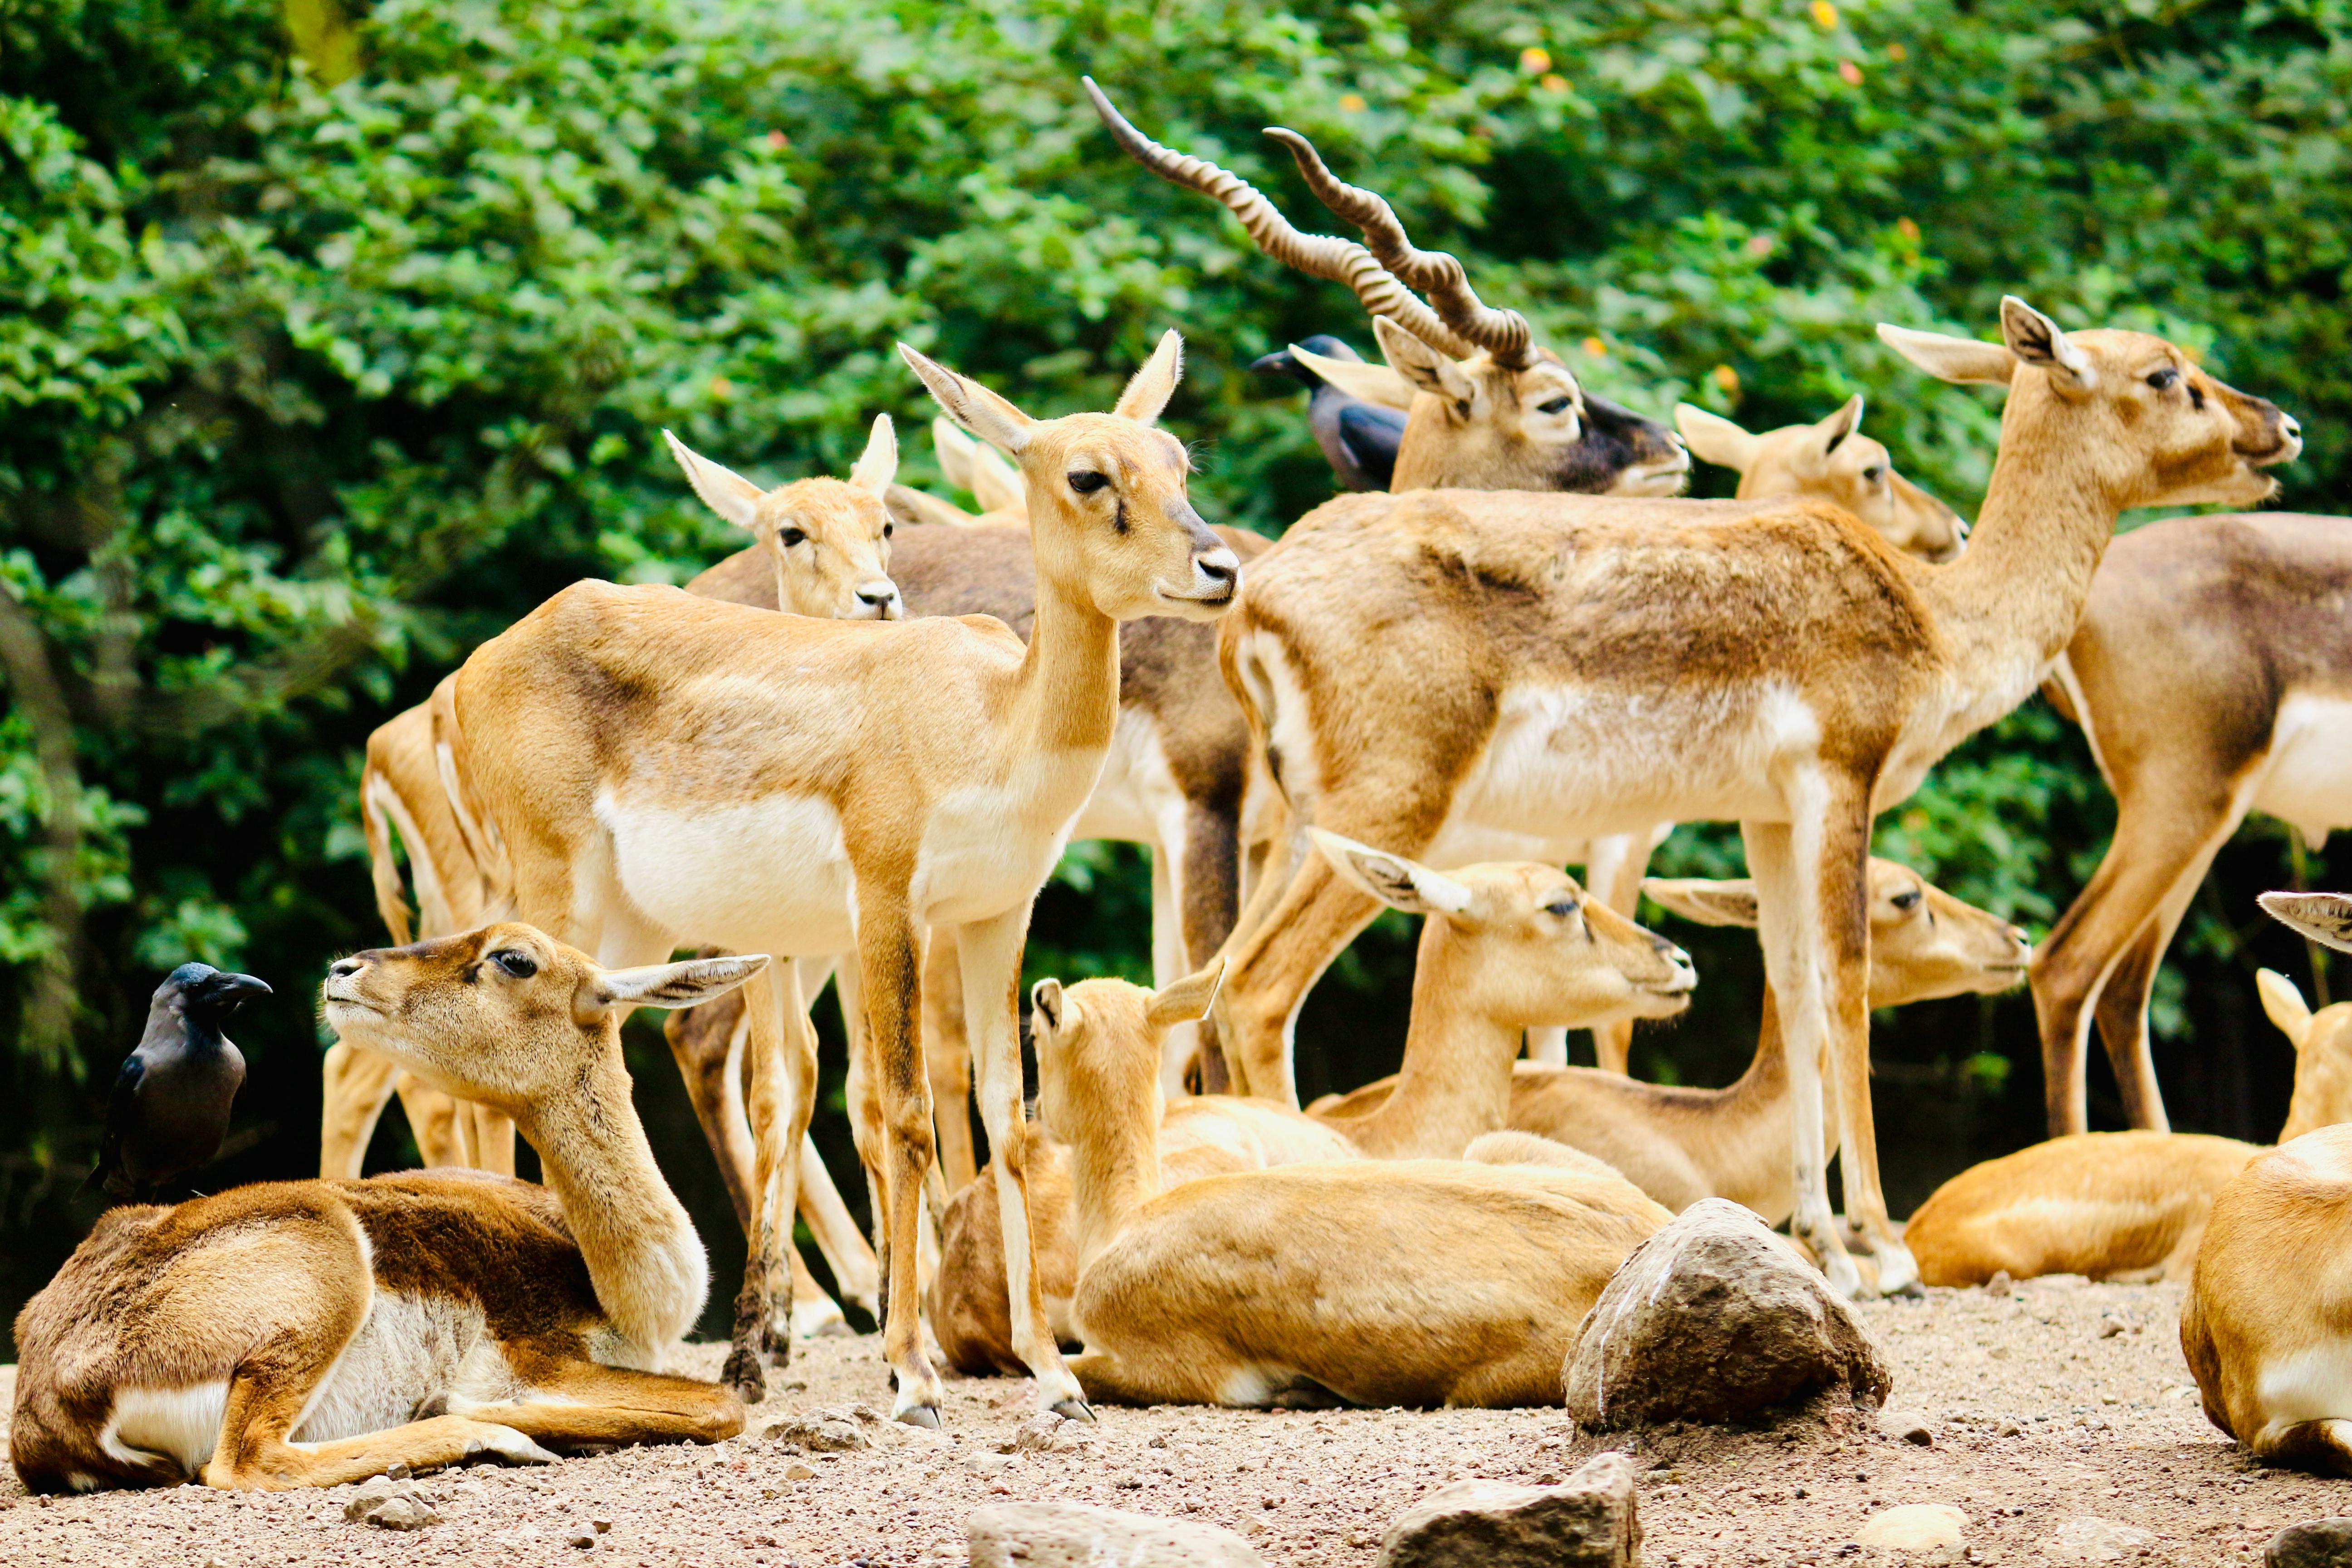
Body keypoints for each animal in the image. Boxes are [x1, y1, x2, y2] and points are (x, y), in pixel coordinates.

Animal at [8, 926, 760, 1493]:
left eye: (513, 958)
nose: (344, 969)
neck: (638, 1300)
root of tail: (45, 1405)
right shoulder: (541, 1359)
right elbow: (725, 1405)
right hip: (326, 1272)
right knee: (247, 1462)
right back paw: (488, 1432)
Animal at [438, 333, 1239, 1425]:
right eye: (1086, 474)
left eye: (1178, 461)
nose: (1219, 567)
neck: (988, 724)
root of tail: (470, 672)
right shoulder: (888, 904)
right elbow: (900, 1113)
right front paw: (912, 1375)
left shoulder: (996, 914)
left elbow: (1008, 1119)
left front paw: (1052, 1370)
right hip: (554, 887)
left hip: (633, 931)